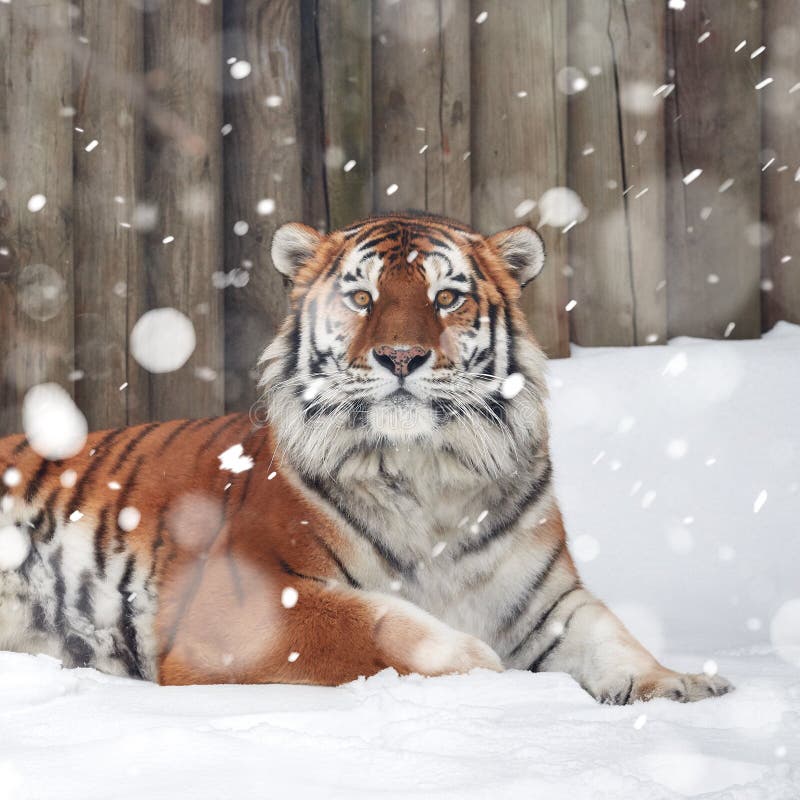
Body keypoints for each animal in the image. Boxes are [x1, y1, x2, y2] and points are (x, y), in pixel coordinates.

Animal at [0, 211, 733, 702]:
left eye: (446, 297)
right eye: (362, 298)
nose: (401, 356)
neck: (428, 473)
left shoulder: (545, 599)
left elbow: (610, 632)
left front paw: (678, 684)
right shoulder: (244, 601)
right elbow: (385, 626)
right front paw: (486, 673)